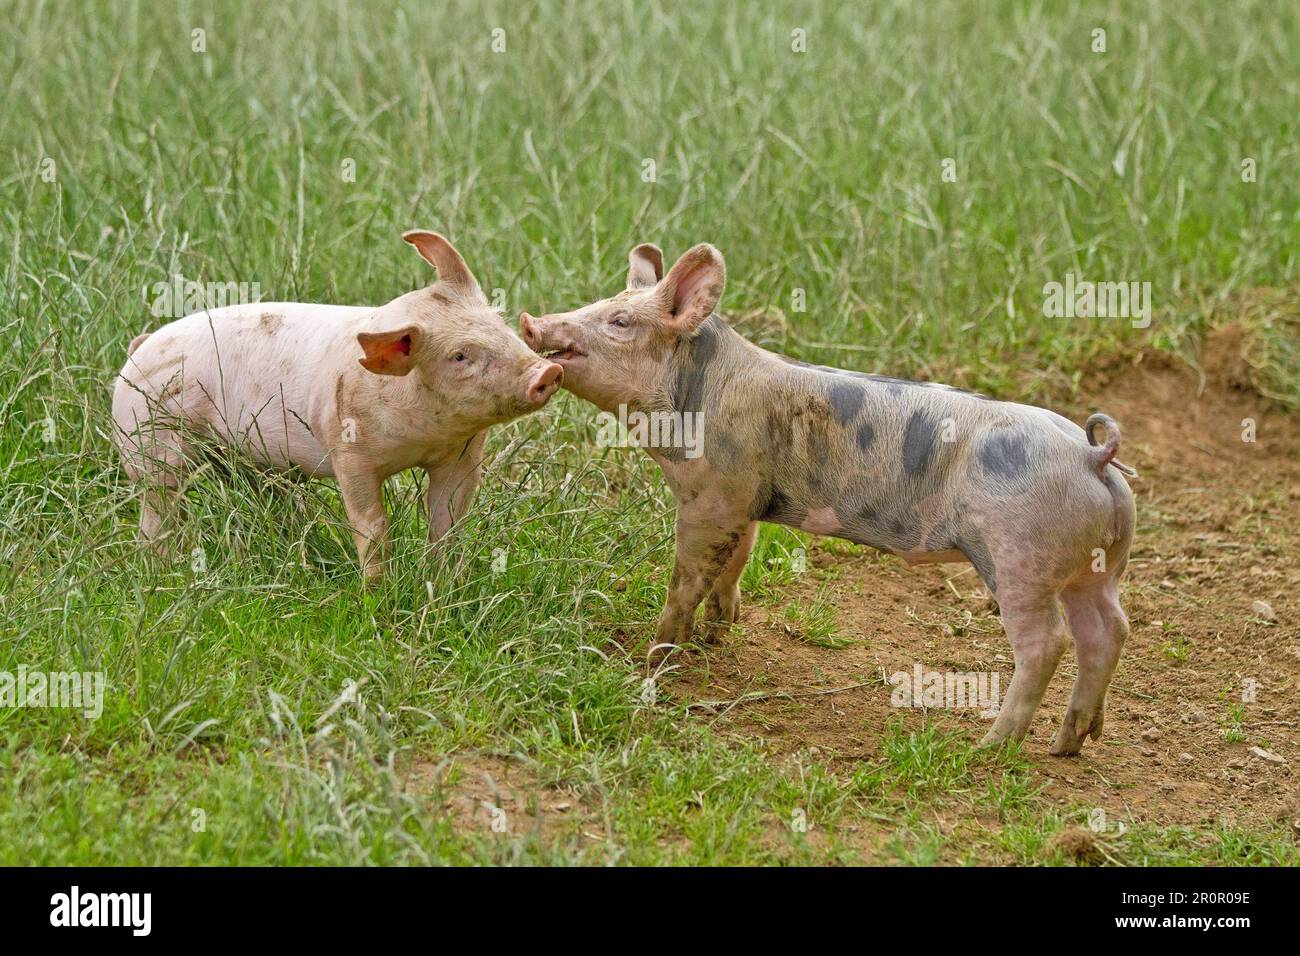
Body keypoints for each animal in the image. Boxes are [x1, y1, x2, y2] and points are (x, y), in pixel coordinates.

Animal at [113, 230, 563, 579]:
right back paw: (162, 571)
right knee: (159, 508)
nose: (547, 371)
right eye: (459, 356)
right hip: (149, 443)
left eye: (499, 324)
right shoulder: (349, 451)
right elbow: (372, 525)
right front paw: (376, 591)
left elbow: (448, 519)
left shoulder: (463, 452)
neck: (423, 435)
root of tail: (140, 347)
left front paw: (446, 584)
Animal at [520, 242, 1137, 756]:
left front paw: (656, 656)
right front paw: (721, 630)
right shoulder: (745, 498)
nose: (530, 320)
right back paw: (1068, 744)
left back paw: (989, 748)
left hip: (1019, 557)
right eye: (599, 302)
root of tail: (1093, 457)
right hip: (1097, 567)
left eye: (619, 321)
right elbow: (736, 560)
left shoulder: (714, 494)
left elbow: (687, 576)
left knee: (1048, 642)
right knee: (1109, 629)